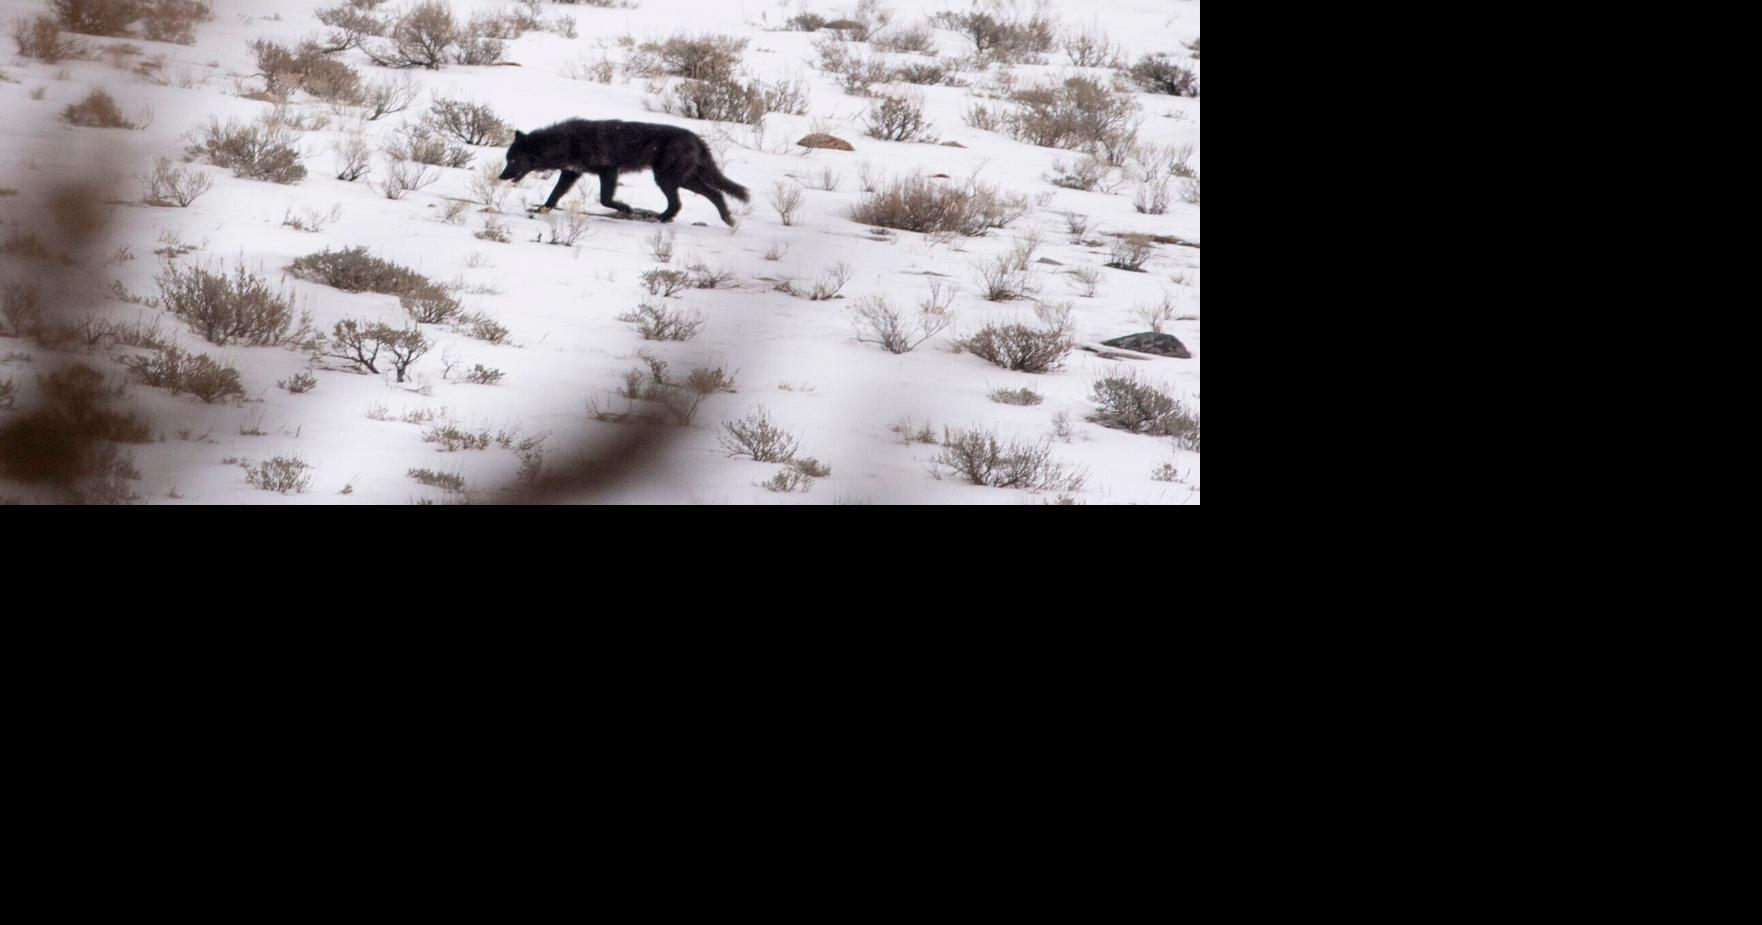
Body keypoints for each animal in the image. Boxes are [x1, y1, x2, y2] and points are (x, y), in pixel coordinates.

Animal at [499, 119, 750, 227]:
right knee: (712, 194)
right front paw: (541, 210)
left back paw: (655, 218)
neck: (567, 142)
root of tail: (697, 138)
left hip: (668, 178)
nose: (501, 177)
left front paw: (627, 208)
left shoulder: (609, 170)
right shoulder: (571, 174)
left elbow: (605, 199)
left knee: (682, 202)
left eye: (513, 160)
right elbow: (553, 196)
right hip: (681, 179)